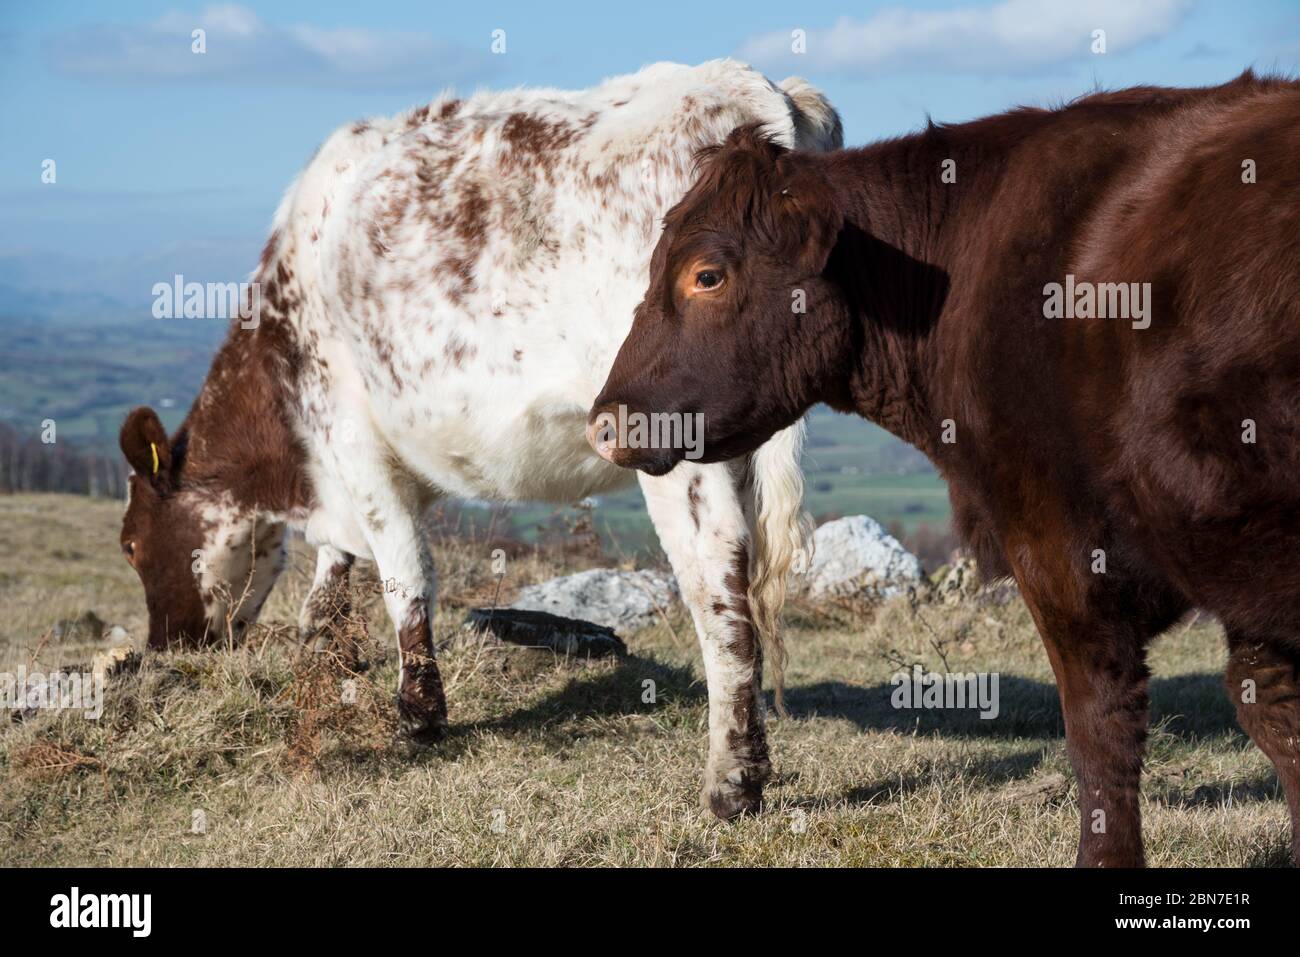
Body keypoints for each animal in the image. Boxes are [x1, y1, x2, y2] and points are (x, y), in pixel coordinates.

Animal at [117, 60, 842, 819]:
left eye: (131, 543)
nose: (166, 648)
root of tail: (756, 90)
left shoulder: (351, 429)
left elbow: (403, 569)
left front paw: (419, 716)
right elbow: (333, 572)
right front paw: (323, 655)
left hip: (677, 433)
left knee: (717, 577)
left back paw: (733, 778)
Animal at [589, 71, 1300, 865]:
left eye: (705, 275)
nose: (605, 421)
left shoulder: (1058, 545)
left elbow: (1100, 727)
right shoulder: (1237, 565)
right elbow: (1274, 711)